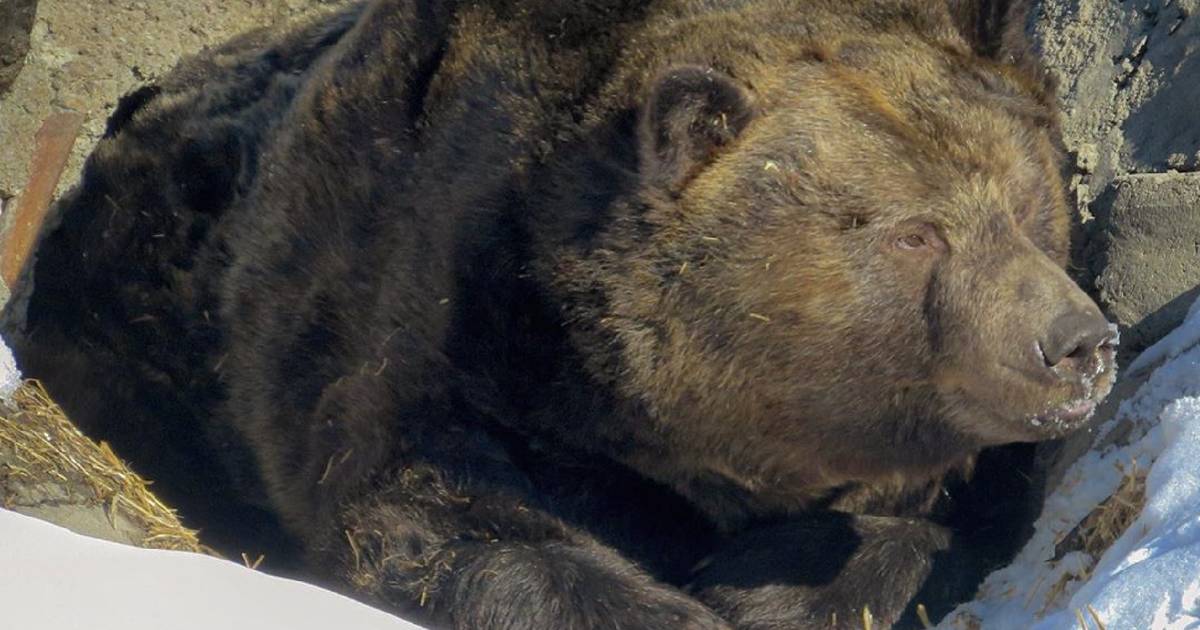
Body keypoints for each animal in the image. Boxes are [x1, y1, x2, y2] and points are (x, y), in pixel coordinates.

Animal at [0, 0, 1119, 628]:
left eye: (1025, 201)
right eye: (914, 233)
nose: (1079, 344)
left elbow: (924, 519)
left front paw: (768, 584)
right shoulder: (432, 308)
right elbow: (438, 513)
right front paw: (675, 607)